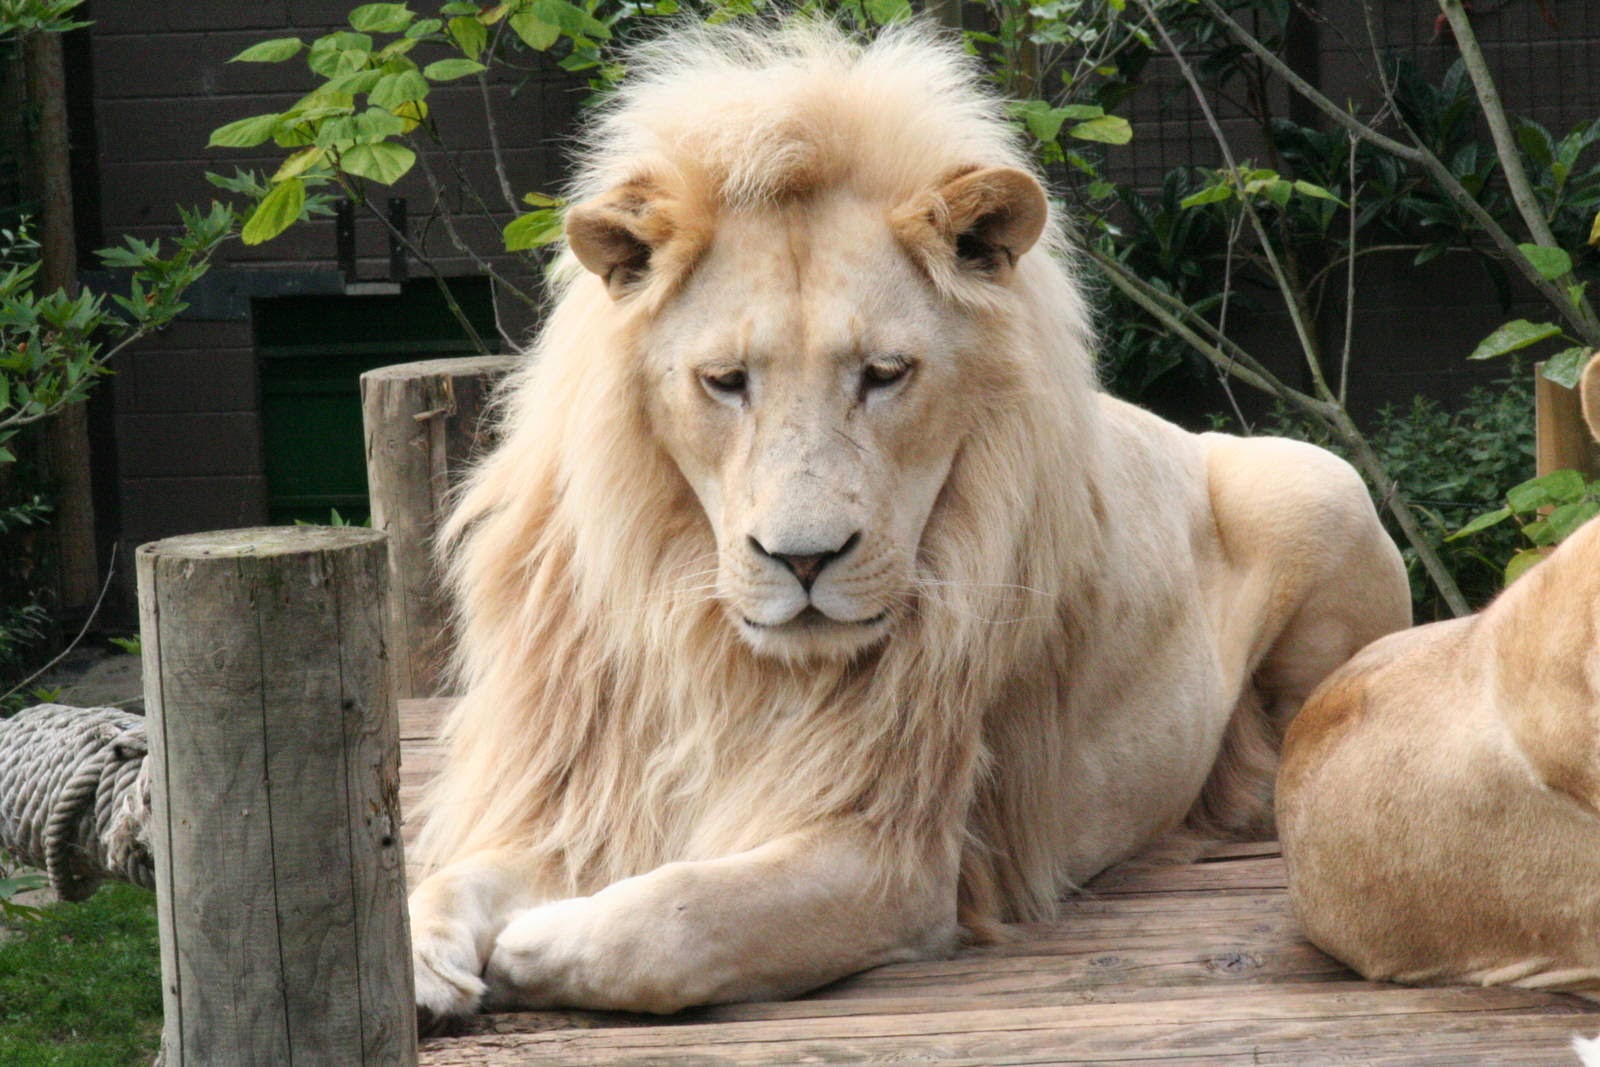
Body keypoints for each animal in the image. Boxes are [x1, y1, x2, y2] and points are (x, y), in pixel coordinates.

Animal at [406, 21, 1411, 1020]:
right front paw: (420, 952)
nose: (804, 560)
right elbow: (452, 874)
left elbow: (689, 916)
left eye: (884, 373)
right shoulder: (590, 796)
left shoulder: (894, 860)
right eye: (725, 380)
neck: (717, 658)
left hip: (1319, 482)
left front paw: (541, 944)